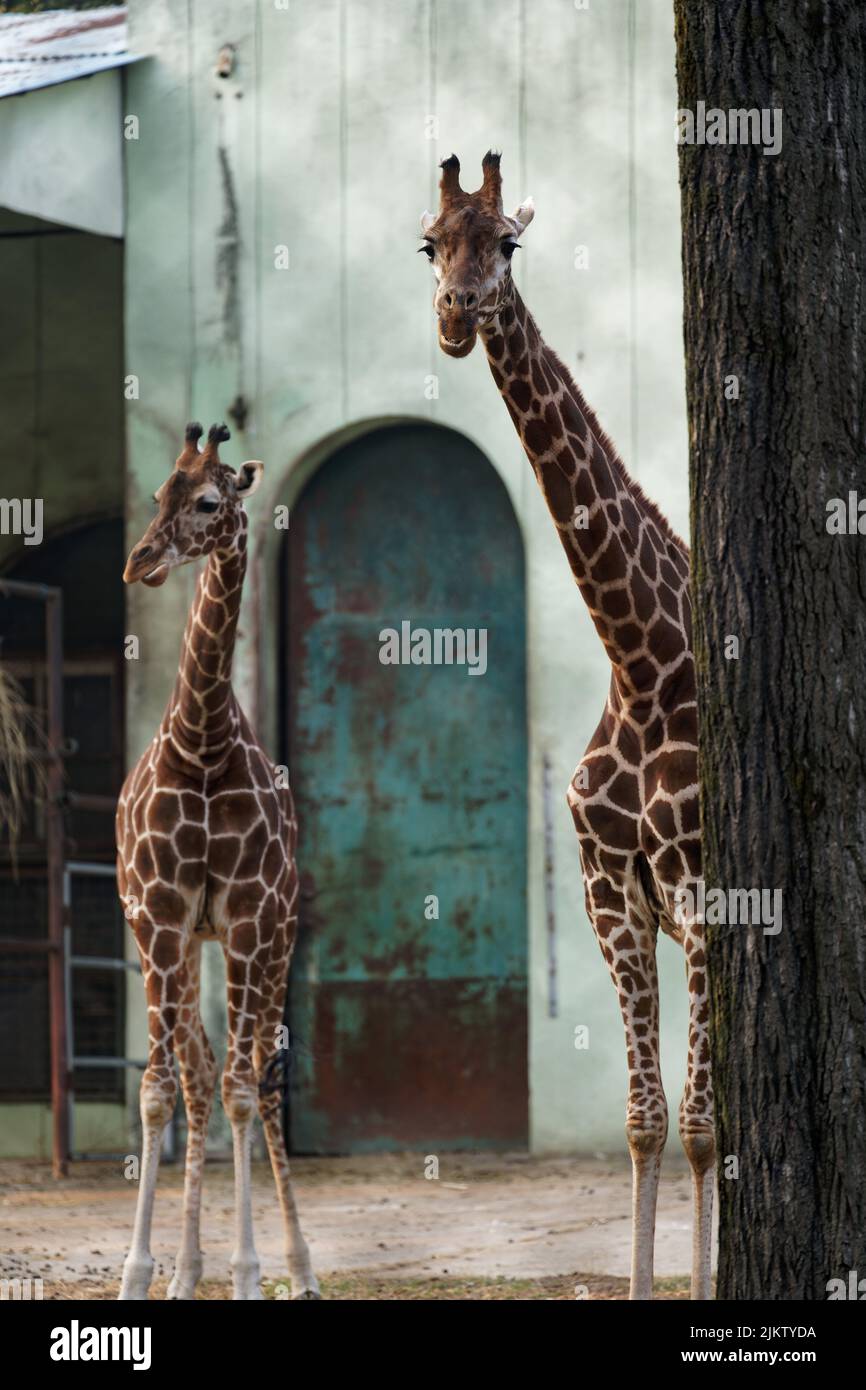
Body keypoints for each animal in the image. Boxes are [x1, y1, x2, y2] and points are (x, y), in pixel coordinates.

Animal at [419, 153, 711, 1300]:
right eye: (430, 243)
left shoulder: (707, 898)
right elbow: (645, 1123)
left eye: (507, 243)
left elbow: (704, 1124)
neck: (641, 662)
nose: (456, 319)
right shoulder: (610, 903)